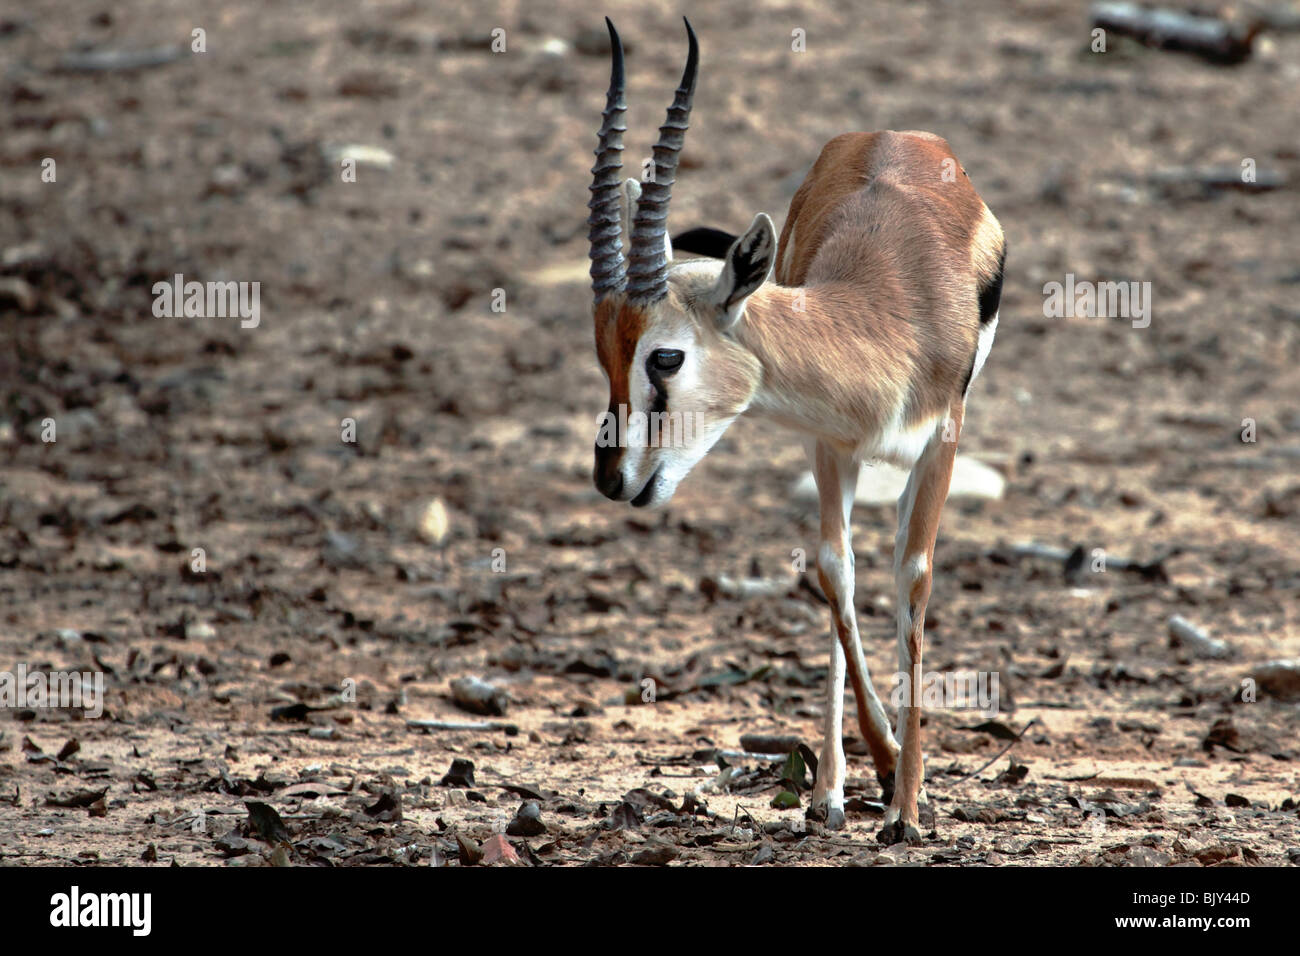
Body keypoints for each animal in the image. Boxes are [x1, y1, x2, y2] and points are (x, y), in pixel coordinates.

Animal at [586, 17, 1006, 845]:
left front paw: (908, 807)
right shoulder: (830, 443)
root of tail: (896, 132)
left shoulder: (942, 442)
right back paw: (832, 791)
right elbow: (834, 575)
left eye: (665, 355)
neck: (887, 317)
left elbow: (912, 581)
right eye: (602, 352)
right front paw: (859, 780)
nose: (613, 475)